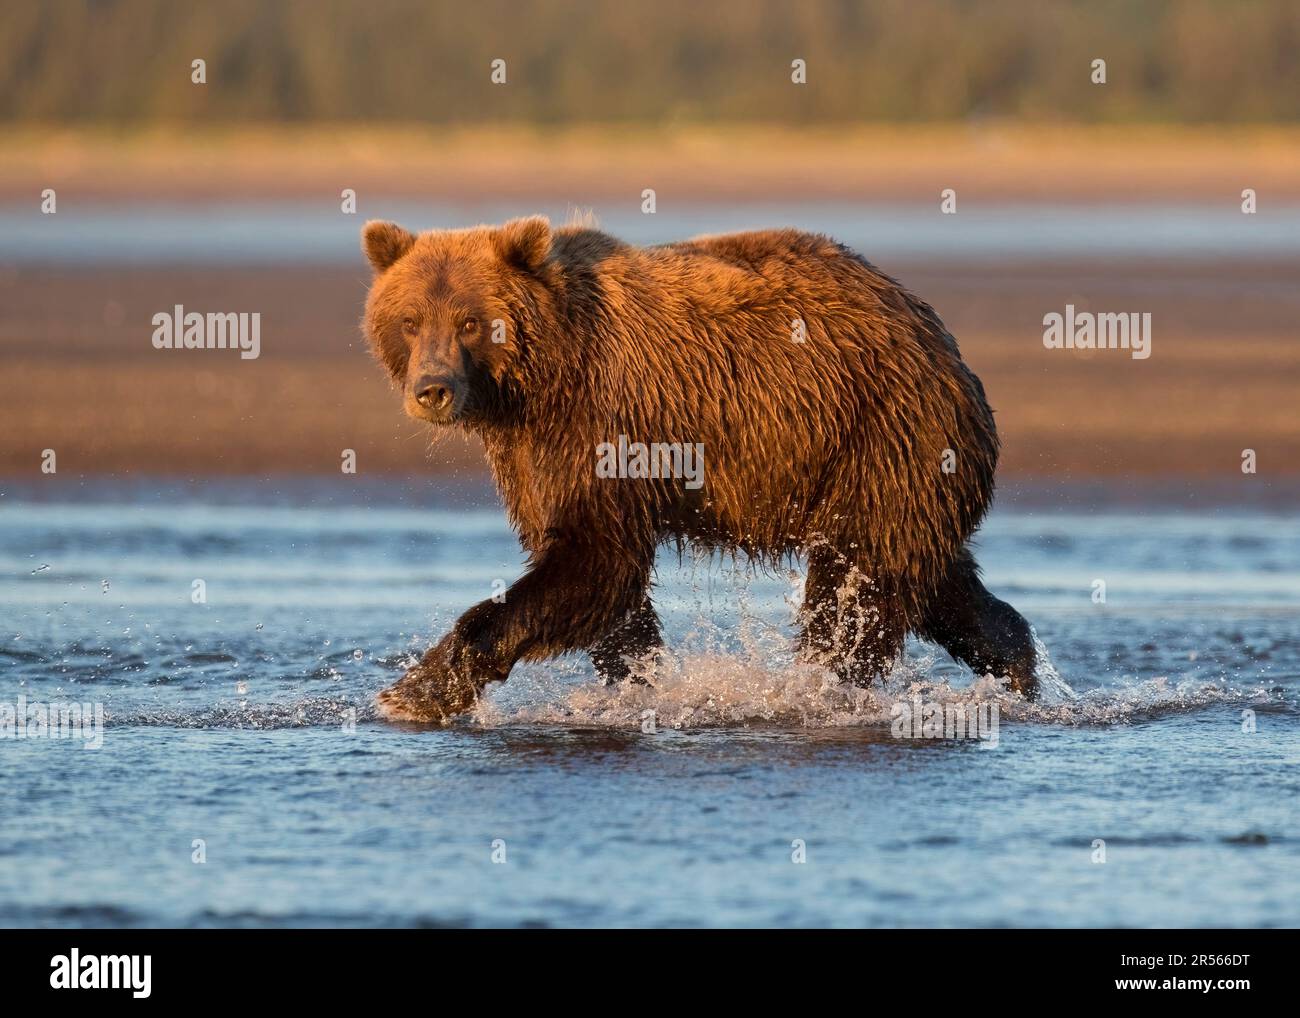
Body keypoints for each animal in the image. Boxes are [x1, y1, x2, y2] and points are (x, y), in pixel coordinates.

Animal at [360, 216, 1038, 723]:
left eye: (471, 321)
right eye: (410, 320)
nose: (432, 390)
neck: (537, 383)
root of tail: (940, 341)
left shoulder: (600, 423)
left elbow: (595, 561)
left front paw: (412, 691)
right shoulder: (532, 455)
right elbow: (601, 584)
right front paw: (640, 680)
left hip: (877, 435)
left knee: (856, 588)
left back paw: (817, 687)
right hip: (898, 470)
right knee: (936, 581)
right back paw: (1018, 670)